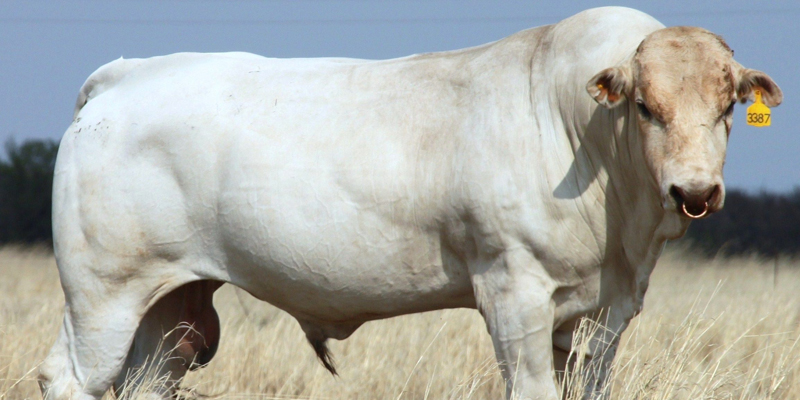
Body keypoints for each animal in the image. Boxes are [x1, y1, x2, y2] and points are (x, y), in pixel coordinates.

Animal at [39, 6, 781, 400]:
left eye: (728, 108)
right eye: (646, 107)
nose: (694, 191)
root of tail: (127, 75)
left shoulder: (606, 311)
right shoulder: (512, 288)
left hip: (168, 306)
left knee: (143, 383)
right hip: (101, 293)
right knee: (68, 376)